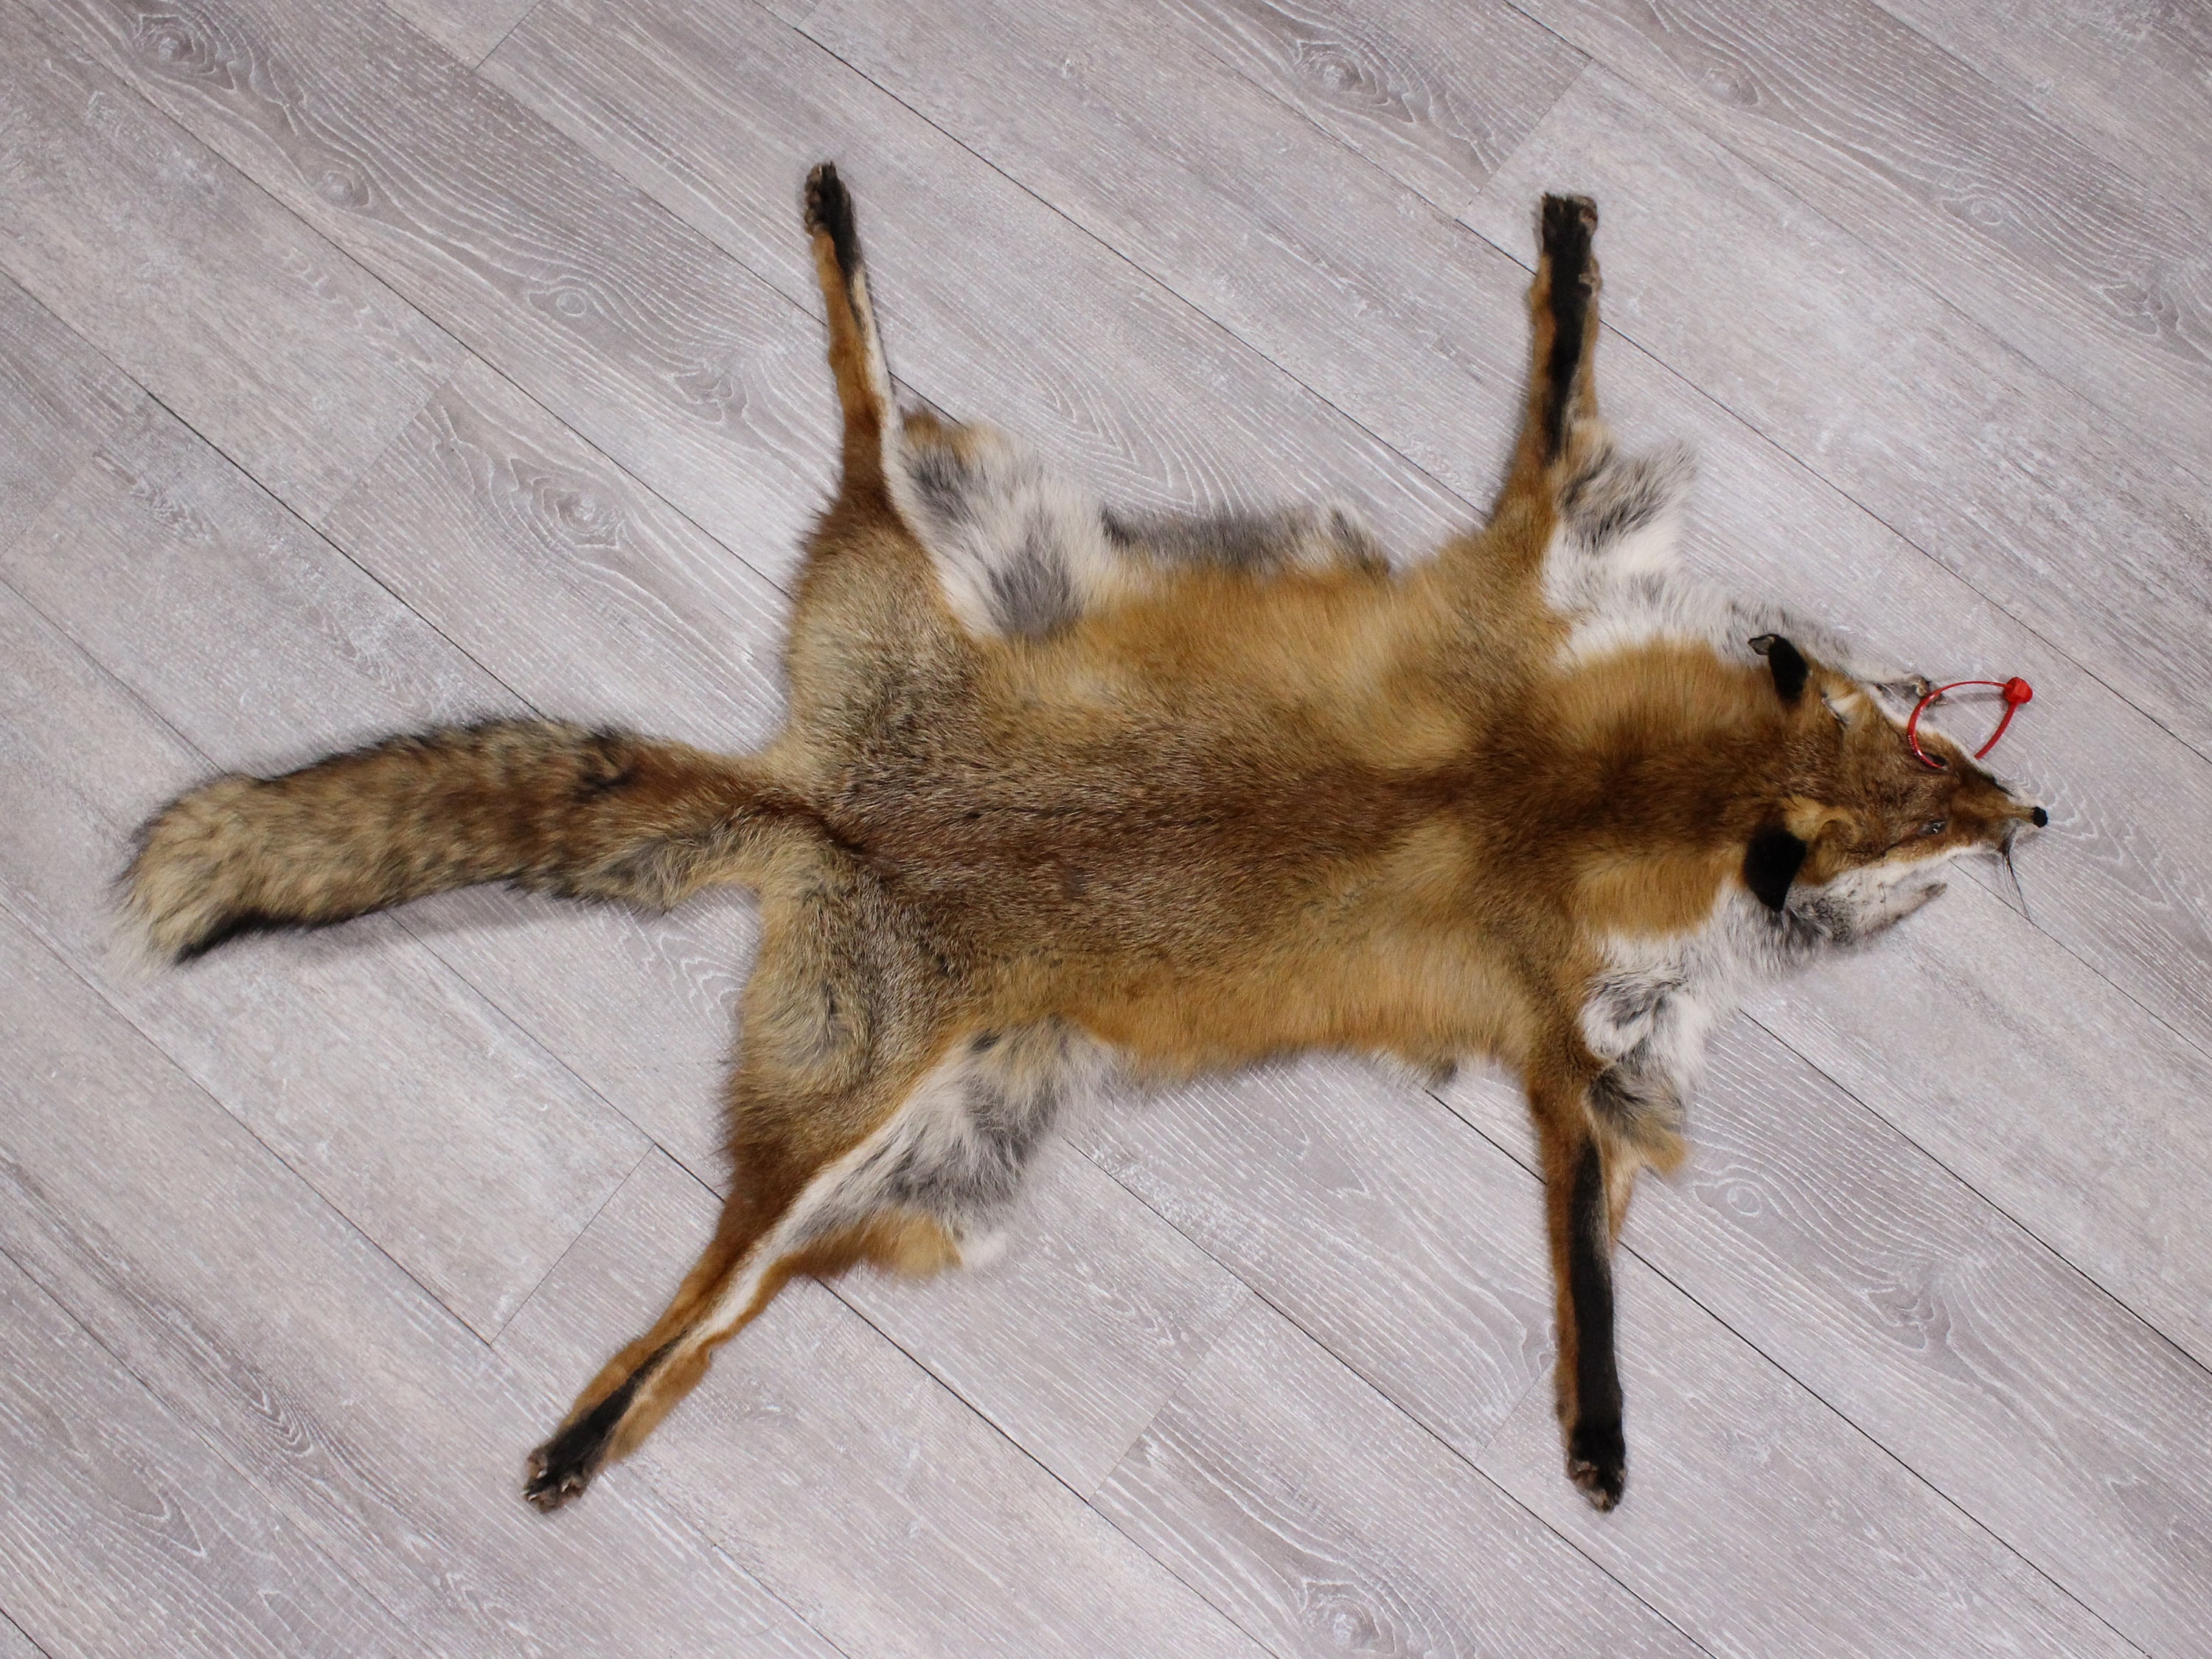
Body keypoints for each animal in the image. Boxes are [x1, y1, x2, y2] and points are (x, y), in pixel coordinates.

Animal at [123, 166, 2046, 1514]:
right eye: (1923, 788)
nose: (2035, 810)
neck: (1578, 790)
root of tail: (820, 796)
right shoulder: (1544, 950)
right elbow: (1583, 1253)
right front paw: (1598, 1434)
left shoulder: (1557, 849)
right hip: (879, 1112)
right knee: (722, 1275)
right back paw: (590, 1423)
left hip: (958, 1056)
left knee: (861, 432)